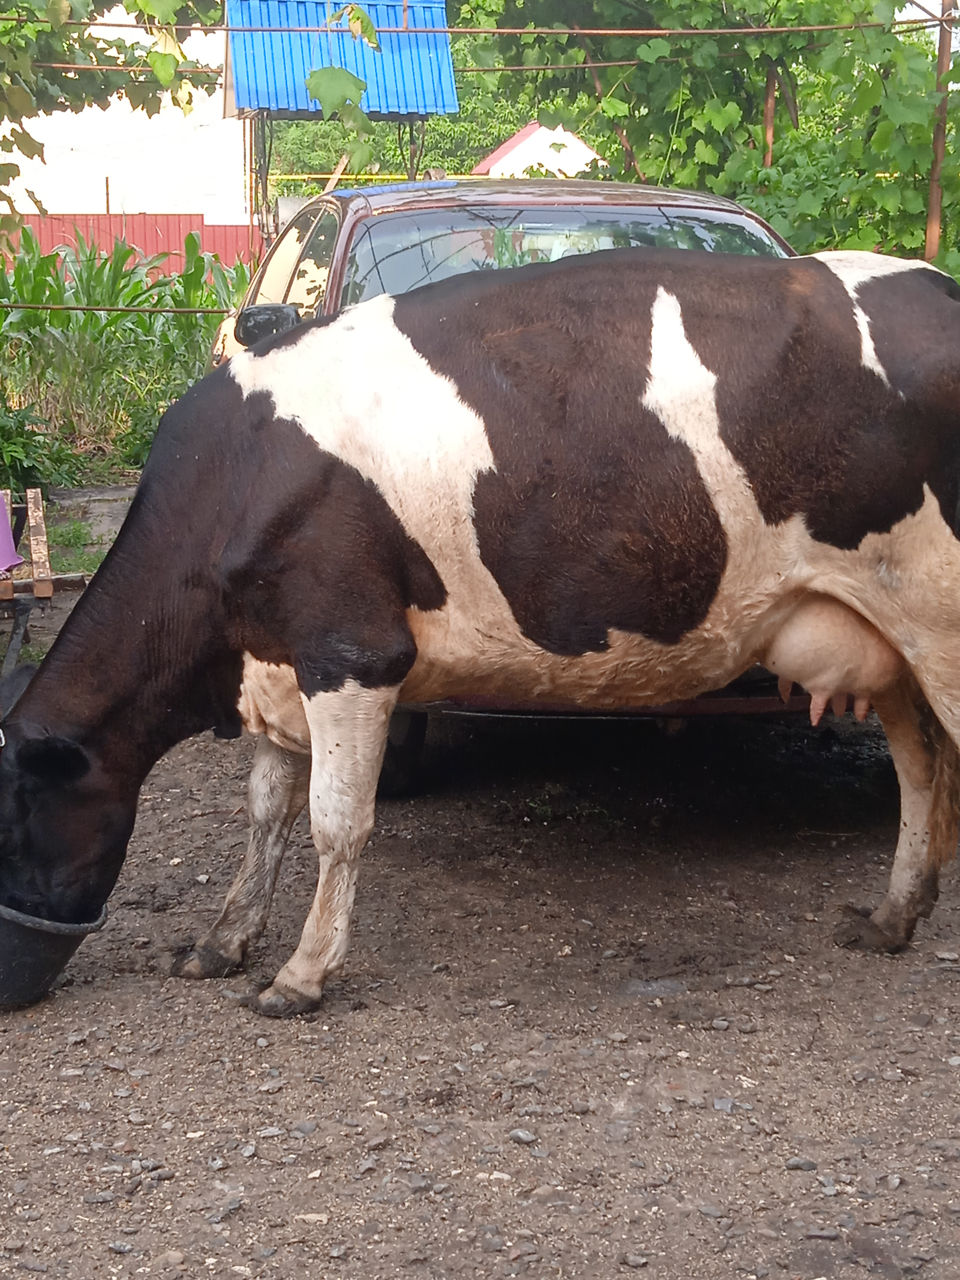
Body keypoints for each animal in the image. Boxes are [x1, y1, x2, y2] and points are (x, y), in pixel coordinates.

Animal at [2, 246, 960, 1017]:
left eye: (11, 826)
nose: (10, 993)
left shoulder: (353, 650)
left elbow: (334, 824)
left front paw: (301, 977)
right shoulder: (278, 655)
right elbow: (266, 814)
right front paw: (222, 942)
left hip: (939, 618)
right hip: (890, 634)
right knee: (921, 765)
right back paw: (891, 917)